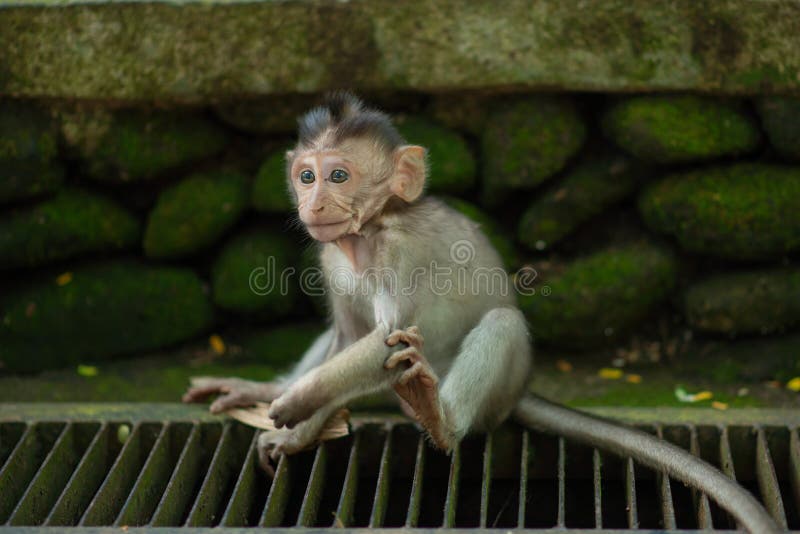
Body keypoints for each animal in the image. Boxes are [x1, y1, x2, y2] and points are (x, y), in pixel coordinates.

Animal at [184, 93, 779, 534]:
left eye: (338, 176)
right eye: (306, 177)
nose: (313, 203)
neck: (367, 233)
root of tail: (521, 391)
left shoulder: (398, 251)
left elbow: (386, 337)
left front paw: (299, 404)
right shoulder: (330, 257)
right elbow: (349, 334)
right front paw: (293, 422)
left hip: (496, 384)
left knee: (500, 326)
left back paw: (441, 421)